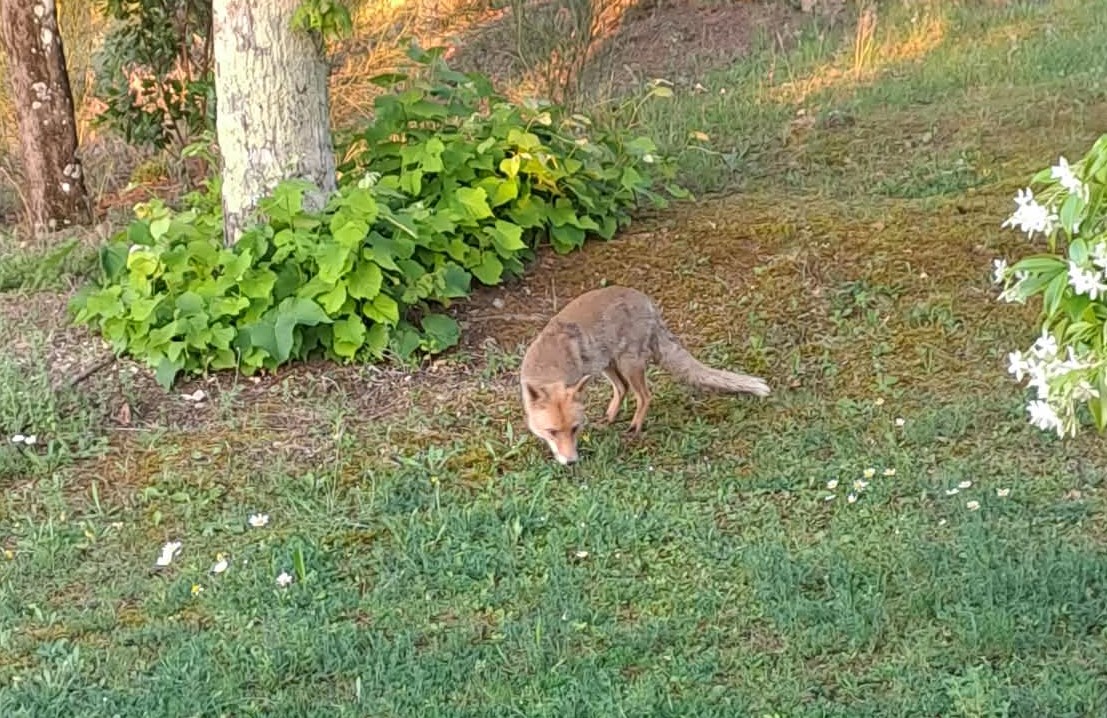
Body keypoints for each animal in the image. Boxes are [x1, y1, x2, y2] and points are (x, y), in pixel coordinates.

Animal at [519, 285, 771, 465]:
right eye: (552, 432)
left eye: (574, 428)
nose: (571, 462)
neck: (551, 363)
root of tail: (649, 304)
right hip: (609, 364)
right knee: (622, 389)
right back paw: (609, 418)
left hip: (629, 365)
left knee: (644, 396)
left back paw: (634, 428)